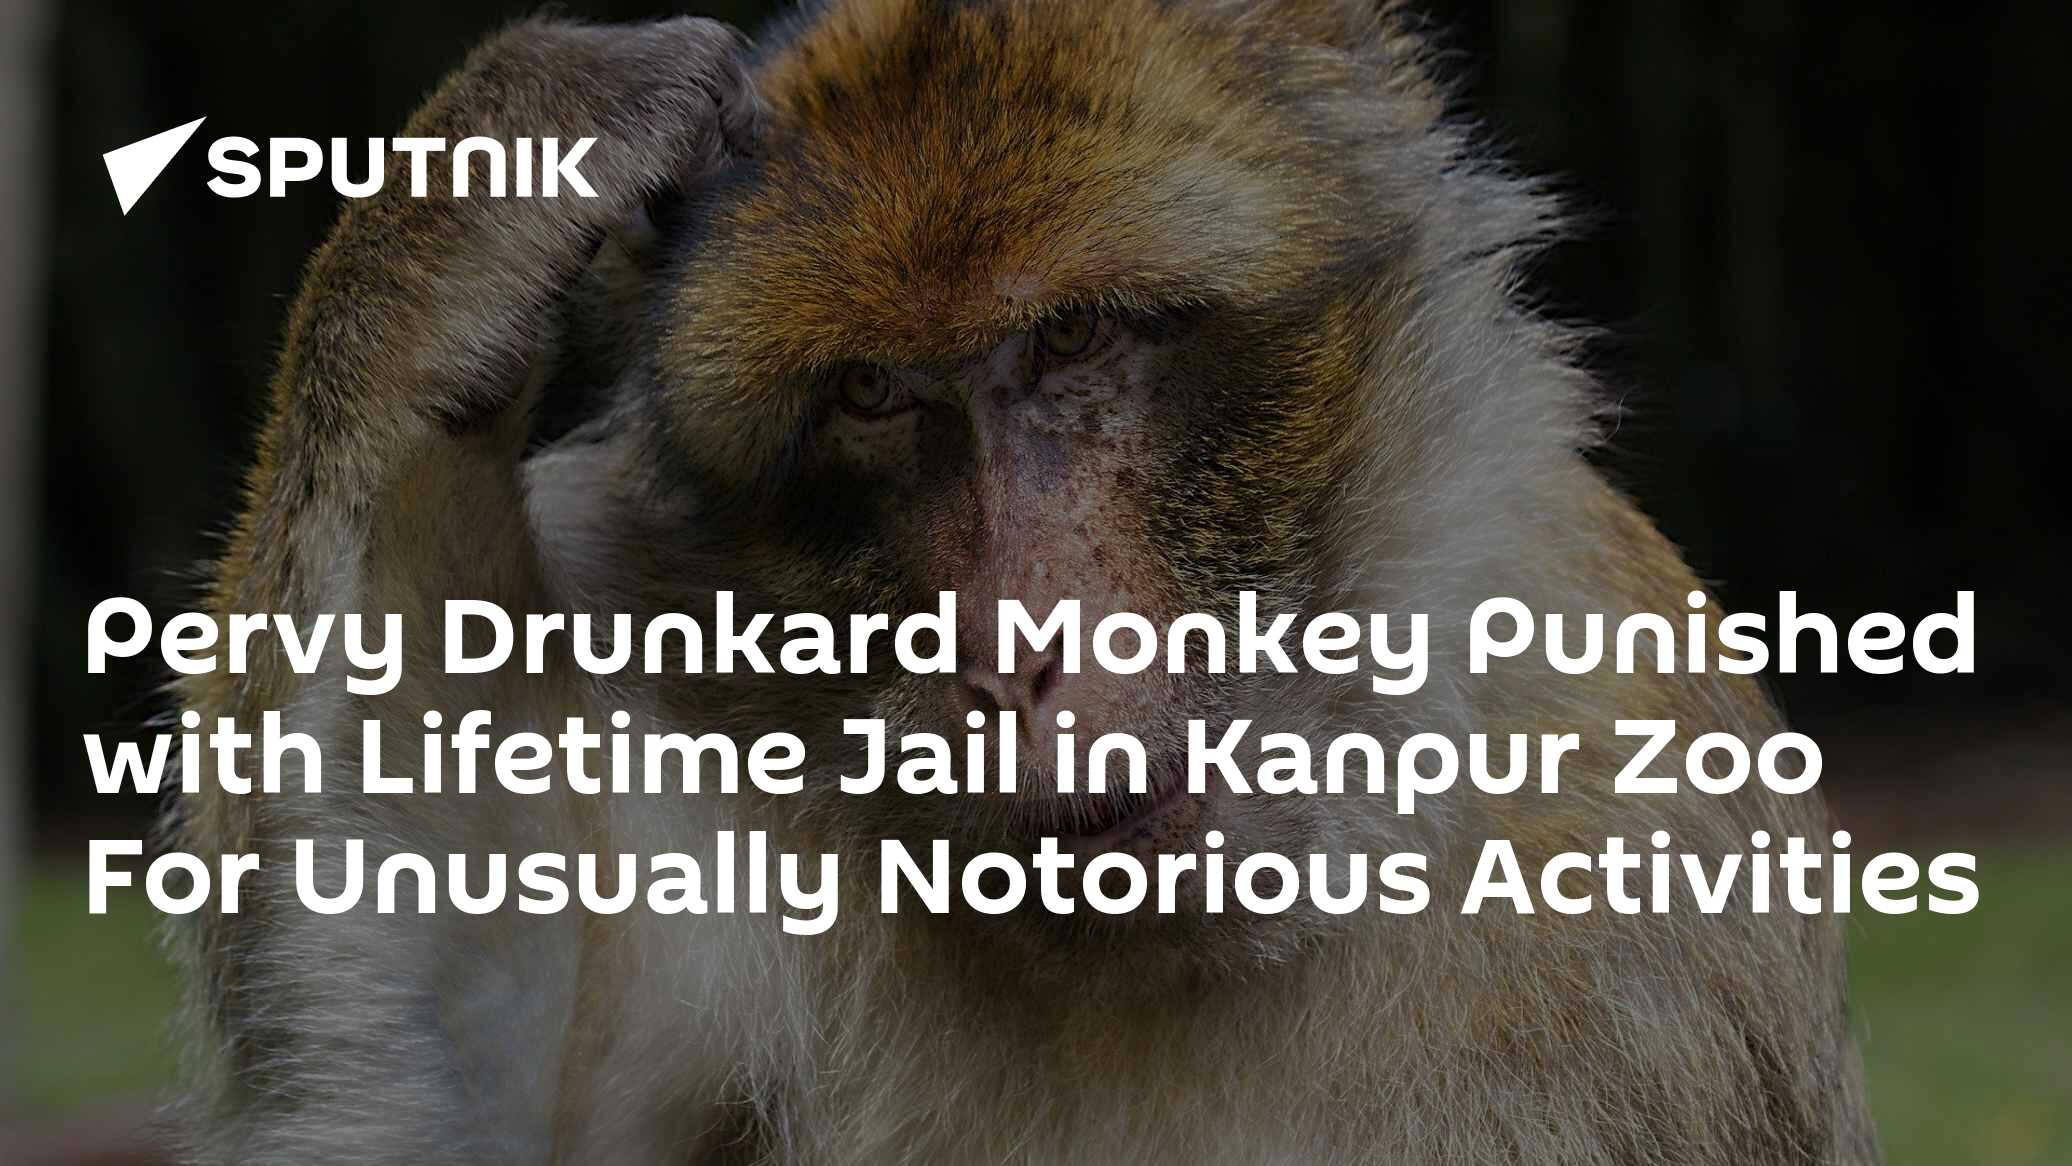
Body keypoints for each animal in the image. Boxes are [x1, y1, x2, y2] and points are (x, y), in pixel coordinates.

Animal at [164, 1, 1881, 1162]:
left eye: (1072, 338)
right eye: (871, 394)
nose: (1014, 651)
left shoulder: (1639, 873)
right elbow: (466, 1103)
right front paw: (475, 200)